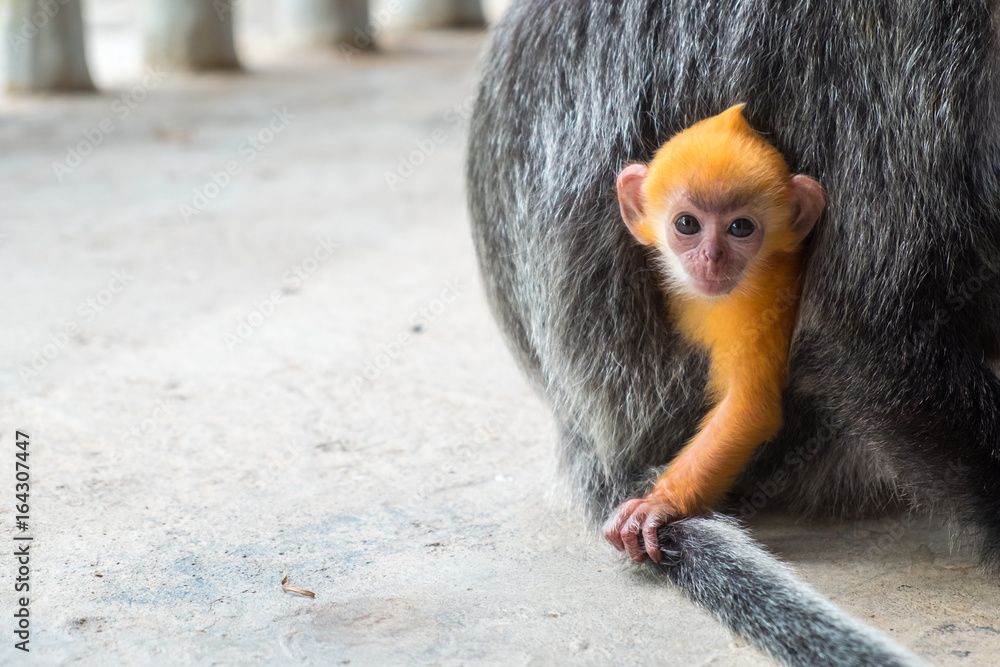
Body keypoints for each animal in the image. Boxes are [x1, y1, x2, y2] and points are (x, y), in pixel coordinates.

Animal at [603, 104, 825, 564]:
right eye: (687, 224)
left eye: (740, 228)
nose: (711, 257)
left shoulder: (767, 300)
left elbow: (750, 406)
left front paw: (660, 503)